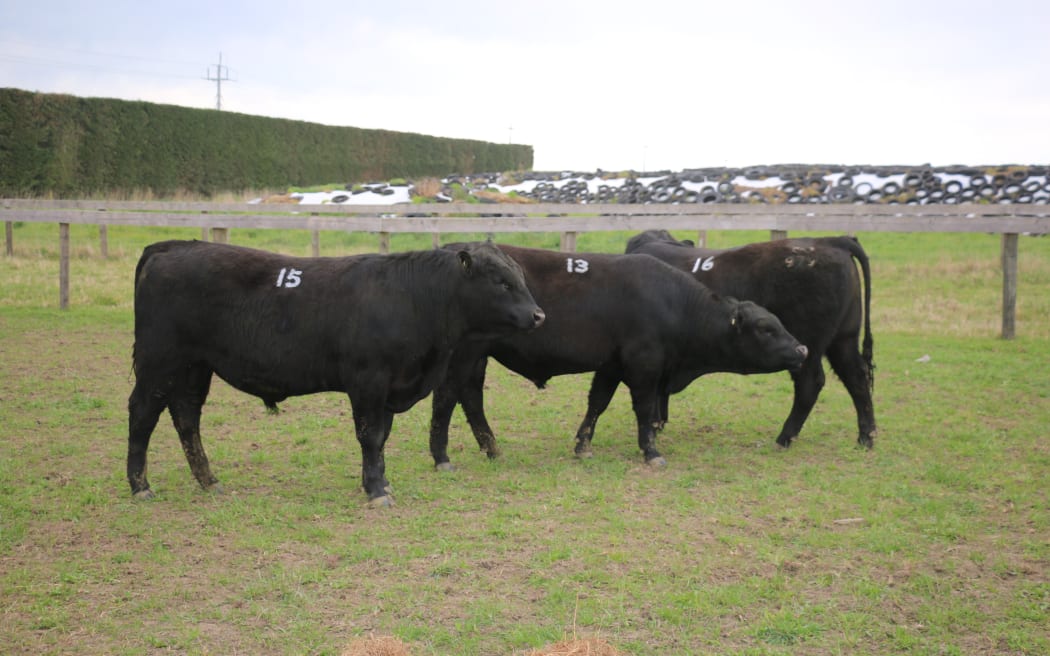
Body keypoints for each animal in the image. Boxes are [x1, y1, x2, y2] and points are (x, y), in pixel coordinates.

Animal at [126, 240, 544, 507]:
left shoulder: (390, 388)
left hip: (195, 368)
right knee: (142, 414)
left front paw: (381, 482)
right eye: (501, 281)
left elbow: (381, 437)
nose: (539, 315)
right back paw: (140, 486)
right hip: (159, 362)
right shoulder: (368, 381)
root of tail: (171, 247)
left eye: (520, 276)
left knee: (186, 417)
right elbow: (370, 436)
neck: (412, 297)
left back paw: (208, 480)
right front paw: (376, 491)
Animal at [428, 245, 809, 467]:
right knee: (446, 397)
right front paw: (651, 451)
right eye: (766, 328)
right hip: (464, 355)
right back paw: (442, 455)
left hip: (476, 358)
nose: (802, 349)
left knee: (470, 398)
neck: (672, 302)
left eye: (777, 322)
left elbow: (598, 403)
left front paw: (583, 446)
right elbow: (644, 408)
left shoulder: (610, 365)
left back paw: (491, 448)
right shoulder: (644, 365)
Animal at [625, 229, 875, 448]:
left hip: (808, 344)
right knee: (856, 377)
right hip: (844, 338)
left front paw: (654, 424)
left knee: (810, 383)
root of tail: (831, 241)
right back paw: (866, 436)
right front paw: (659, 423)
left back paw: (784, 438)